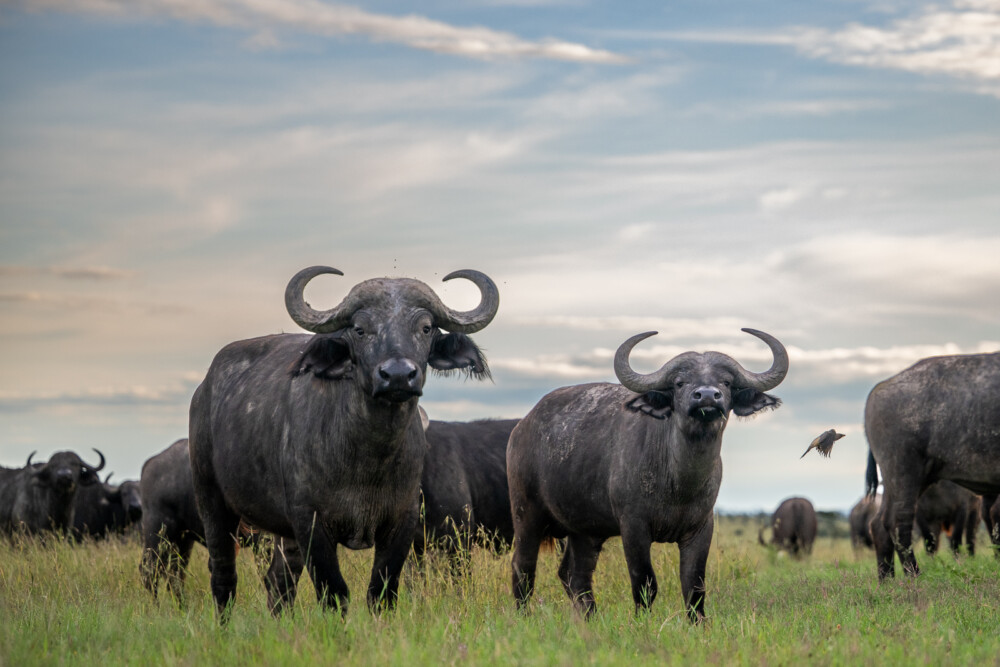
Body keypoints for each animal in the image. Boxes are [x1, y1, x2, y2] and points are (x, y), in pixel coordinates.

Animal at [189, 265, 498, 618]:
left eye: (426, 327)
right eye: (360, 329)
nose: (397, 375)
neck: (368, 459)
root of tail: (203, 390)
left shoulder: (402, 521)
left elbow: (382, 592)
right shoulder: (311, 523)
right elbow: (334, 592)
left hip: (284, 533)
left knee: (279, 579)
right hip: (212, 500)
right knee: (223, 574)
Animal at [507, 328, 788, 622]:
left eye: (726, 382)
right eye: (679, 383)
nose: (708, 396)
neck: (679, 484)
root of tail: (522, 427)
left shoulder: (701, 527)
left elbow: (694, 586)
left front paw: (698, 624)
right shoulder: (633, 527)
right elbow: (644, 582)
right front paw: (643, 621)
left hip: (585, 531)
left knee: (575, 574)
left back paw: (590, 618)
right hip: (527, 515)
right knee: (523, 566)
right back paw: (524, 616)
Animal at [864, 351, 1000, 579]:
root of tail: (879, 389)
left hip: (906, 478)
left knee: (878, 524)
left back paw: (887, 579)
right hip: (904, 470)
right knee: (896, 521)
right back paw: (914, 576)